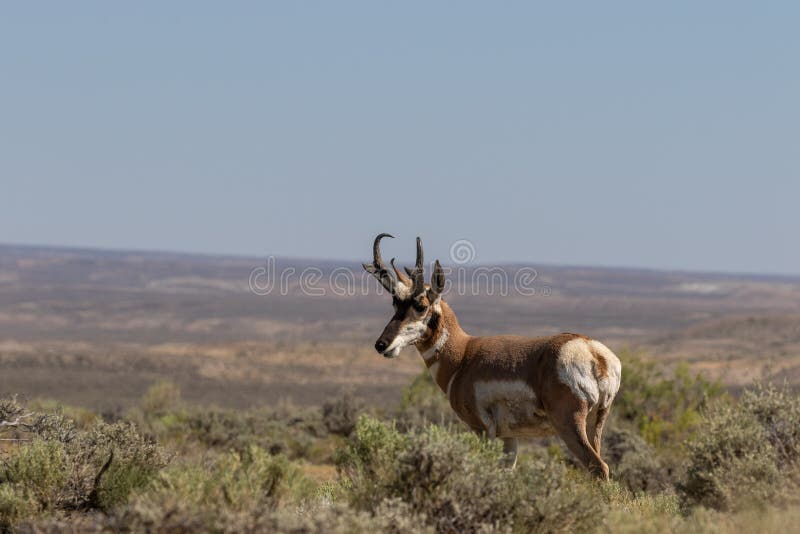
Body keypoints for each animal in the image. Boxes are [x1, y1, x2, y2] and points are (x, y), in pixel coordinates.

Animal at [363, 234, 622, 479]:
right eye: (395, 304)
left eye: (420, 305)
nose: (381, 344)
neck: (463, 356)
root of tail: (593, 352)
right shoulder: (508, 437)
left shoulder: (482, 431)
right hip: (595, 424)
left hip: (568, 423)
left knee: (599, 467)